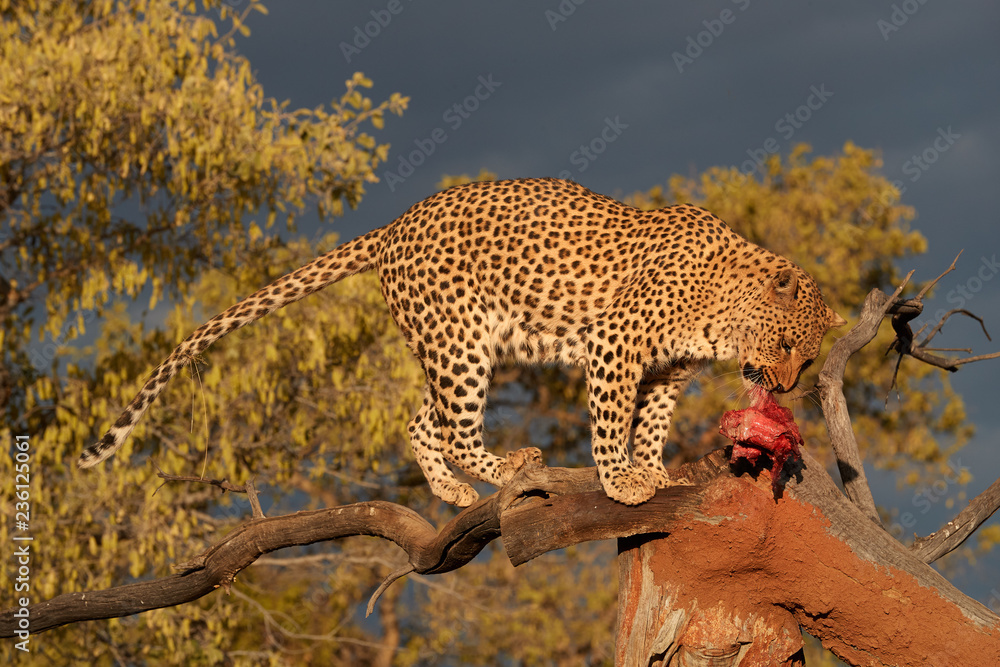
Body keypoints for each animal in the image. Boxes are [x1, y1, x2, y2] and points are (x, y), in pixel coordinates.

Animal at [79, 177, 846, 506]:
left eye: (807, 357)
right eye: (788, 346)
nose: (784, 387)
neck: (720, 310)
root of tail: (395, 224)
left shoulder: (666, 369)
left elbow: (650, 421)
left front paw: (650, 467)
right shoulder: (615, 345)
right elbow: (610, 421)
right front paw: (619, 477)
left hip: (456, 346)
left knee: (421, 421)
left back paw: (452, 488)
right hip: (460, 344)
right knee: (452, 426)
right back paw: (502, 468)